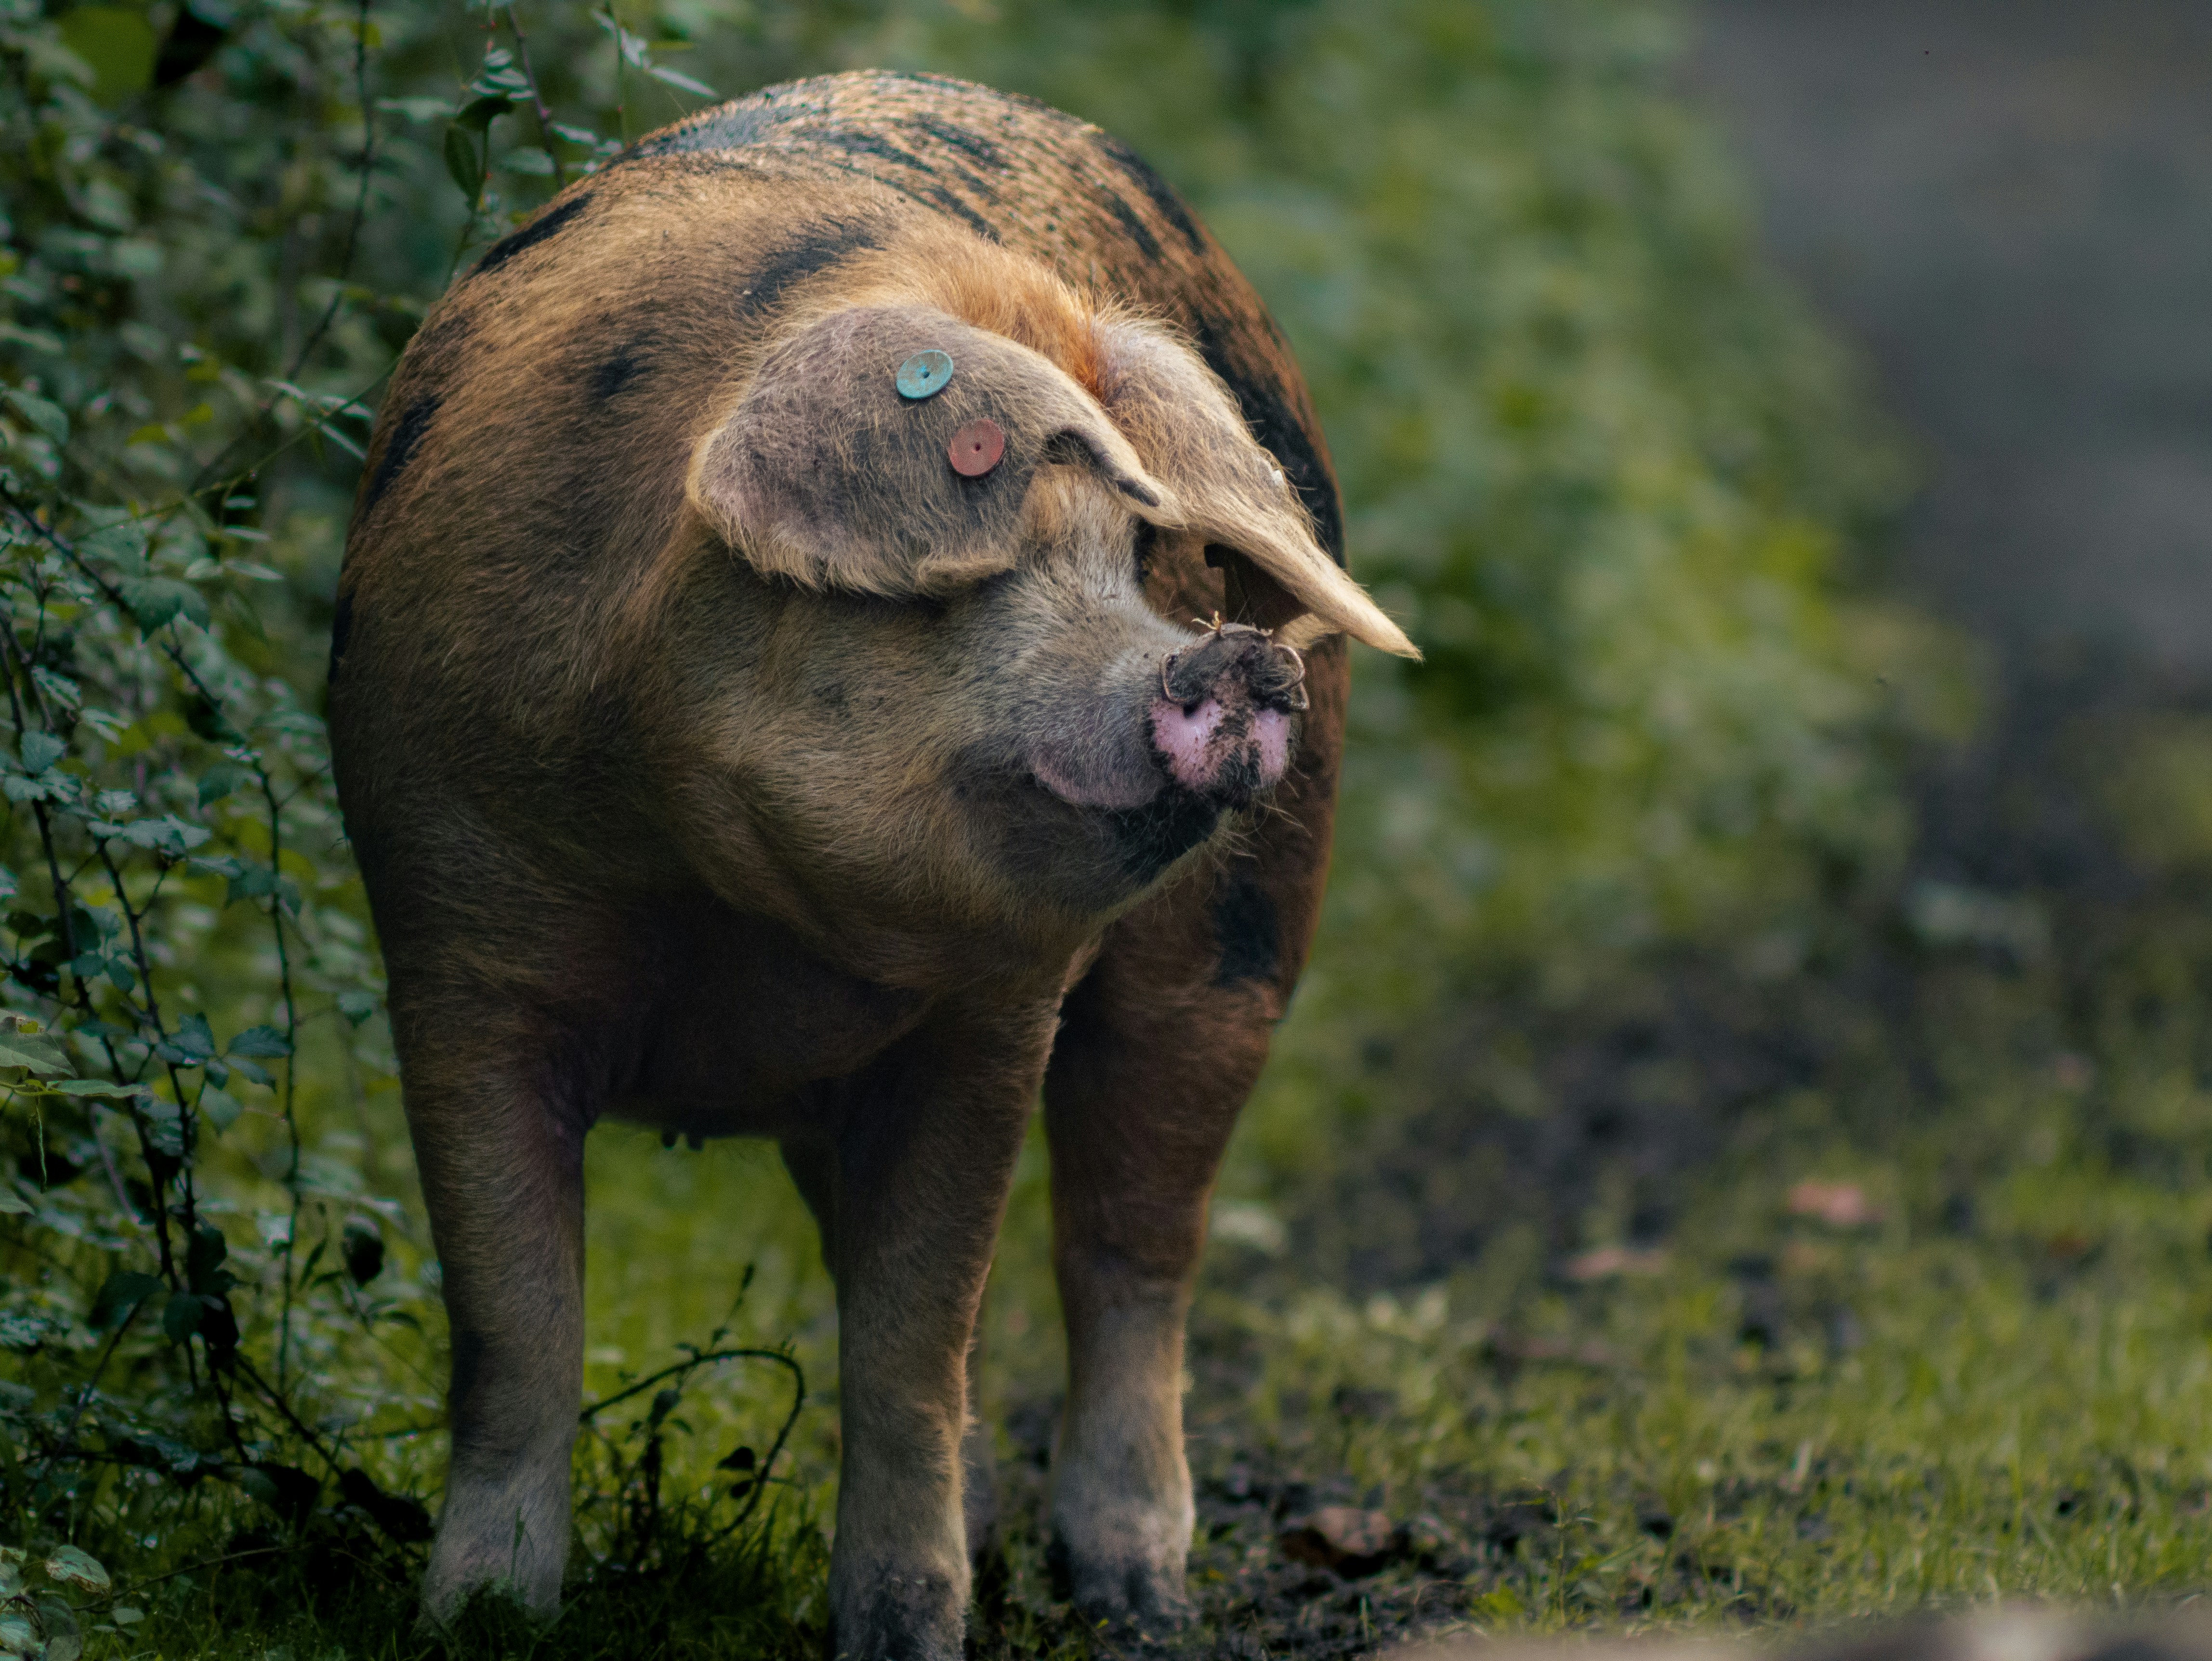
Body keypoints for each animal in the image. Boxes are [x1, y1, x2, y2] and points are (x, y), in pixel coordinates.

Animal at [328, 69, 1416, 1660]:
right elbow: (515, 1320)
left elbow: (917, 1337)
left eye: (1145, 559)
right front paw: (477, 1621)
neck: (717, 902)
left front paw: (905, 1634)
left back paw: (1139, 1595)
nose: (1234, 658)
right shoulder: (451, 934)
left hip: (1248, 934)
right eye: (973, 571)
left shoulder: (992, 1017)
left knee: (1135, 1244)